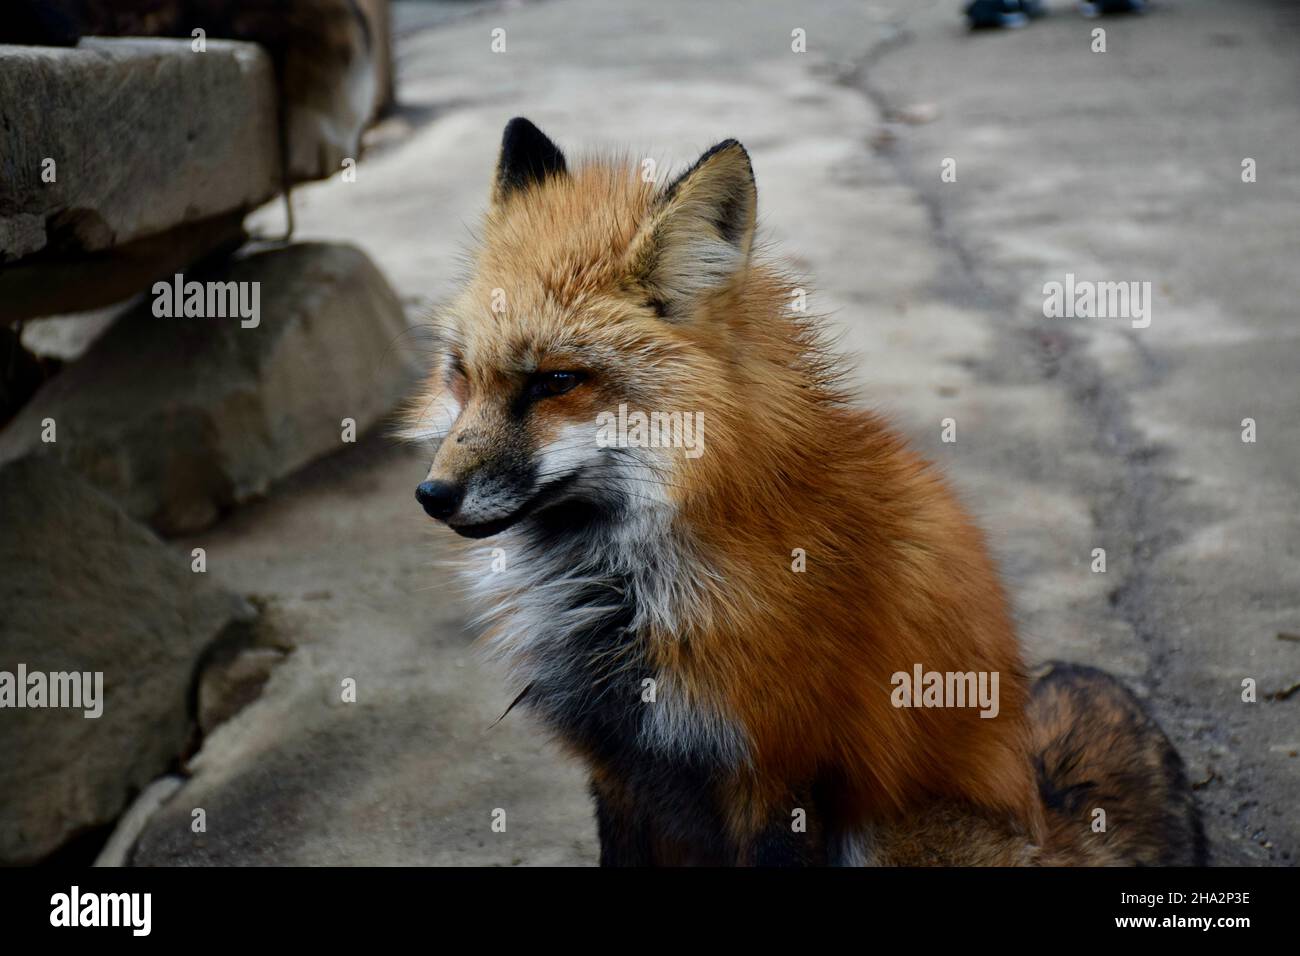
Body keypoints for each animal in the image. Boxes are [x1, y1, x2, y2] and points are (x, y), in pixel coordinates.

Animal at [401, 117, 1207, 866]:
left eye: (556, 381)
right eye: (462, 375)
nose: (432, 494)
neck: (625, 593)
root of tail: (1043, 822)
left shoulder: (784, 776)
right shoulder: (618, 770)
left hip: (888, 834)